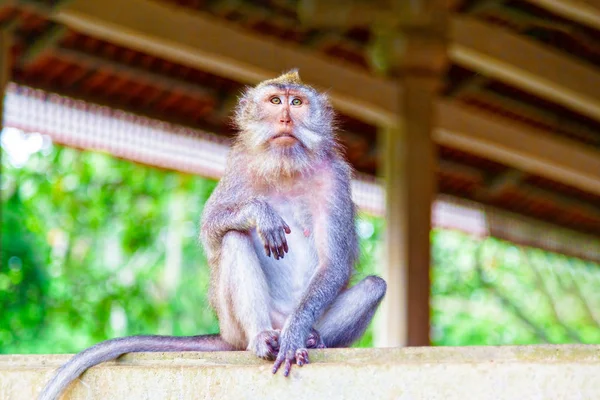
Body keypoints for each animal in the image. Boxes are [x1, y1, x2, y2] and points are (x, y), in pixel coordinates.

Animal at [37, 69, 386, 400]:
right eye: (276, 101)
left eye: (297, 103)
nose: (286, 118)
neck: (286, 168)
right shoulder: (239, 165)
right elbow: (210, 228)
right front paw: (259, 213)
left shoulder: (336, 179)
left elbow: (334, 263)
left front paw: (296, 333)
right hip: (234, 325)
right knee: (235, 239)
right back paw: (261, 337)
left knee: (374, 285)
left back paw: (311, 338)